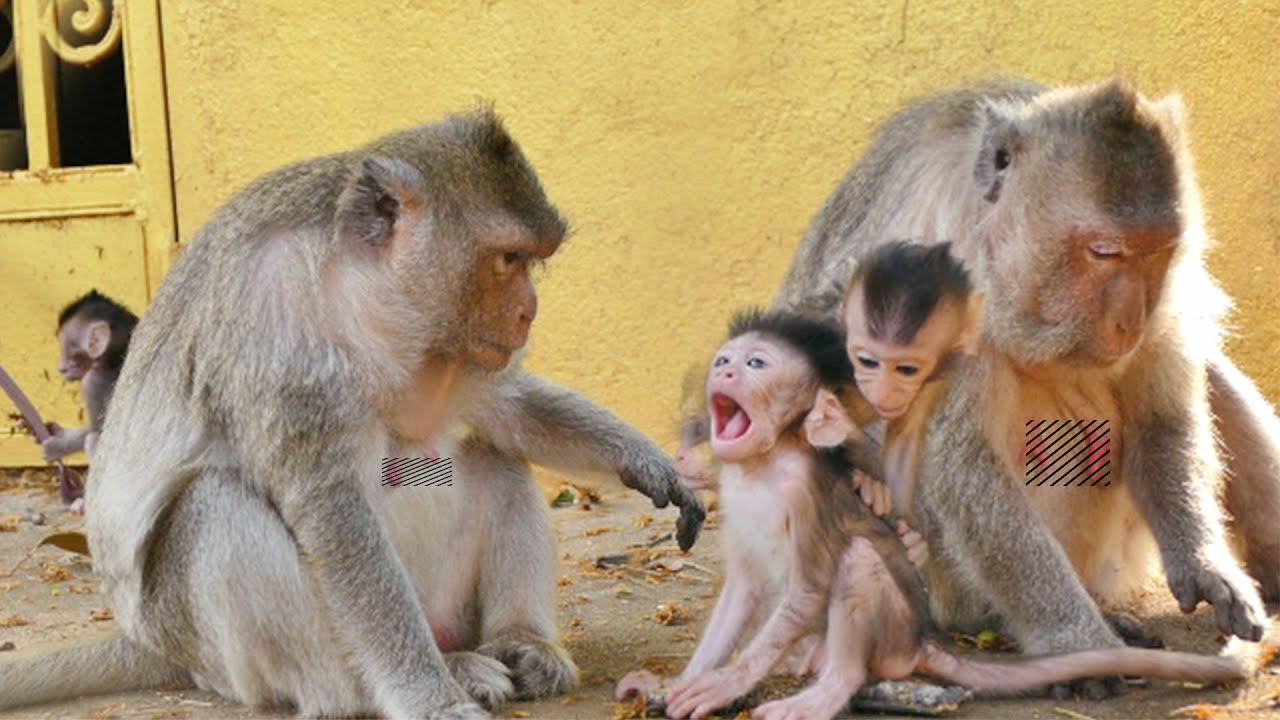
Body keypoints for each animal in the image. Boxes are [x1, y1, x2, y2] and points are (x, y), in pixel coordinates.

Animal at [0, 109, 704, 718]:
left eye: (533, 261)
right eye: (509, 258)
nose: (529, 311)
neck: (356, 288)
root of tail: (152, 644)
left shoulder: (452, 345)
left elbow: (502, 407)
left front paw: (647, 462)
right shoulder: (278, 324)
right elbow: (331, 509)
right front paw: (432, 701)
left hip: (443, 602)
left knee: (493, 453)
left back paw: (521, 643)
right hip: (212, 650)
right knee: (214, 506)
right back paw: (387, 686)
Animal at [617, 308, 1256, 720]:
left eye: (754, 363)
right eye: (725, 360)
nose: (722, 369)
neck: (762, 469)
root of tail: (920, 641)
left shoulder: (805, 493)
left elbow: (810, 585)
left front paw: (722, 684)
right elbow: (742, 591)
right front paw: (687, 679)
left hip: (891, 627)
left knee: (858, 561)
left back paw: (832, 688)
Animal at [772, 77, 1277, 696]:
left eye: (1156, 251)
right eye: (1104, 252)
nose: (1129, 322)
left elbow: (1160, 413)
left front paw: (1205, 562)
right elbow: (969, 470)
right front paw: (1080, 647)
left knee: (1206, 367)